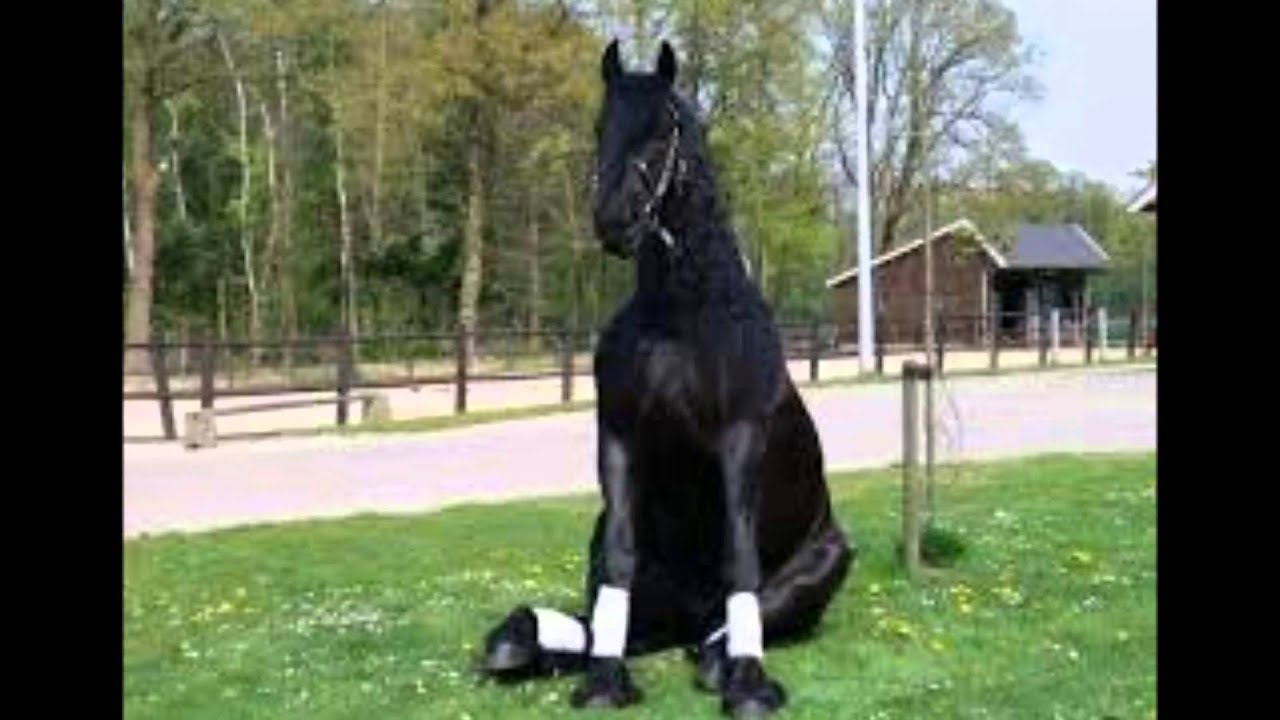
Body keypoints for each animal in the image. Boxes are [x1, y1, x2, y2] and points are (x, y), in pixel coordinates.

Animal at [480, 39, 855, 718]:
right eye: (600, 127)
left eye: (661, 131)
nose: (614, 221)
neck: (683, 313)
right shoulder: (619, 437)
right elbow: (618, 564)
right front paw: (604, 680)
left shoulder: (739, 438)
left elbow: (740, 557)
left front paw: (749, 682)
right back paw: (521, 638)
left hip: (830, 559)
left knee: (739, 617)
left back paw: (721, 658)